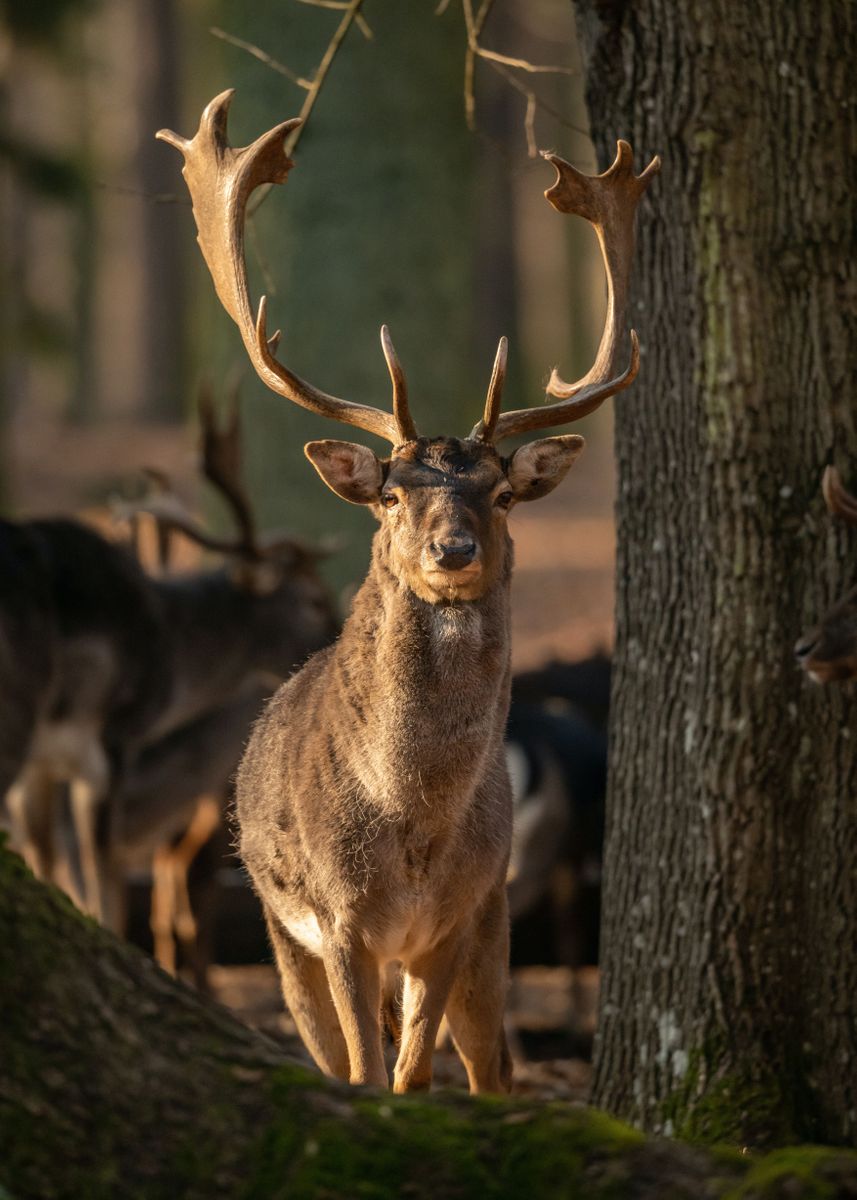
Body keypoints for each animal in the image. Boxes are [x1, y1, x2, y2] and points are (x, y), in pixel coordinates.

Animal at [3, 394, 339, 927]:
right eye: (312, 598)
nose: (342, 638)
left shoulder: (47, 765)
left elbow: (47, 862)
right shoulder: (111, 739)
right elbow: (101, 879)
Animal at [158, 89, 658, 1094]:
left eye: (501, 493)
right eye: (392, 493)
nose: (454, 548)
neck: (411, 829)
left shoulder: (455, 917)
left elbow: (413, 1073)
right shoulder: (340, 921)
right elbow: (361, 1071)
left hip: (493, 923)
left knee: (491, 1065)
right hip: (281, 930)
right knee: (327, 1046)